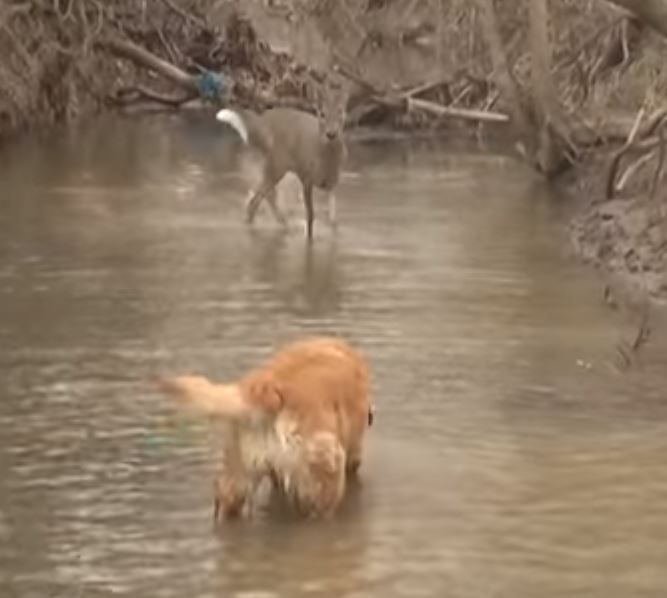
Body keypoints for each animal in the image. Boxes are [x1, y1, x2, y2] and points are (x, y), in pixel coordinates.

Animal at [215, 81, 348, 239]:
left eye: (341, 112)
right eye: (322, 113)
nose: (331, 134)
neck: (326, 161)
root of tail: (261, 122)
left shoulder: (332, 183)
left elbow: (334, 220)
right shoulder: (306, 178)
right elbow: (310, 215)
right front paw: (309, 239)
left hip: (274, 170)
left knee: (261, 196)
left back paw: (282, 224)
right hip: (275, 165)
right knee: (258, 199)